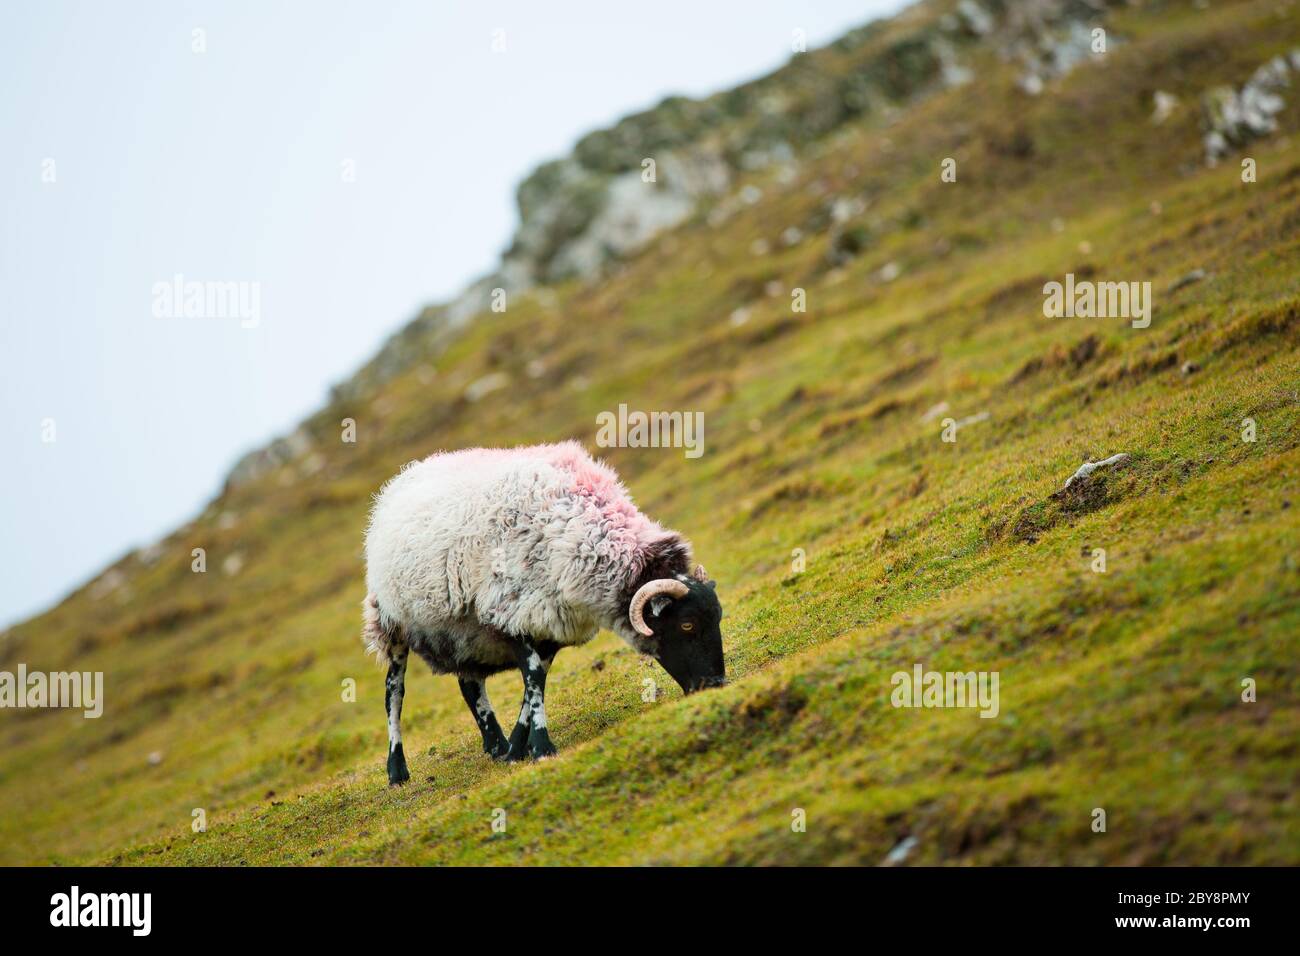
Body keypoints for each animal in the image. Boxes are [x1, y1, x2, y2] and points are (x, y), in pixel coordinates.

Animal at [362, 440, 725, 785]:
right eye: (687, 625)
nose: (716, 684)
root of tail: (404, 475)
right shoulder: (510, 609)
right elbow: (534, 678)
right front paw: (542, 747)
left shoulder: (551, 621)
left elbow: (535, 683)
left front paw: (517, 749)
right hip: (390, 621)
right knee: (394, 691)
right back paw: (397, 770)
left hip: (463, 632)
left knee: (470, 684)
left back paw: (495, 745)